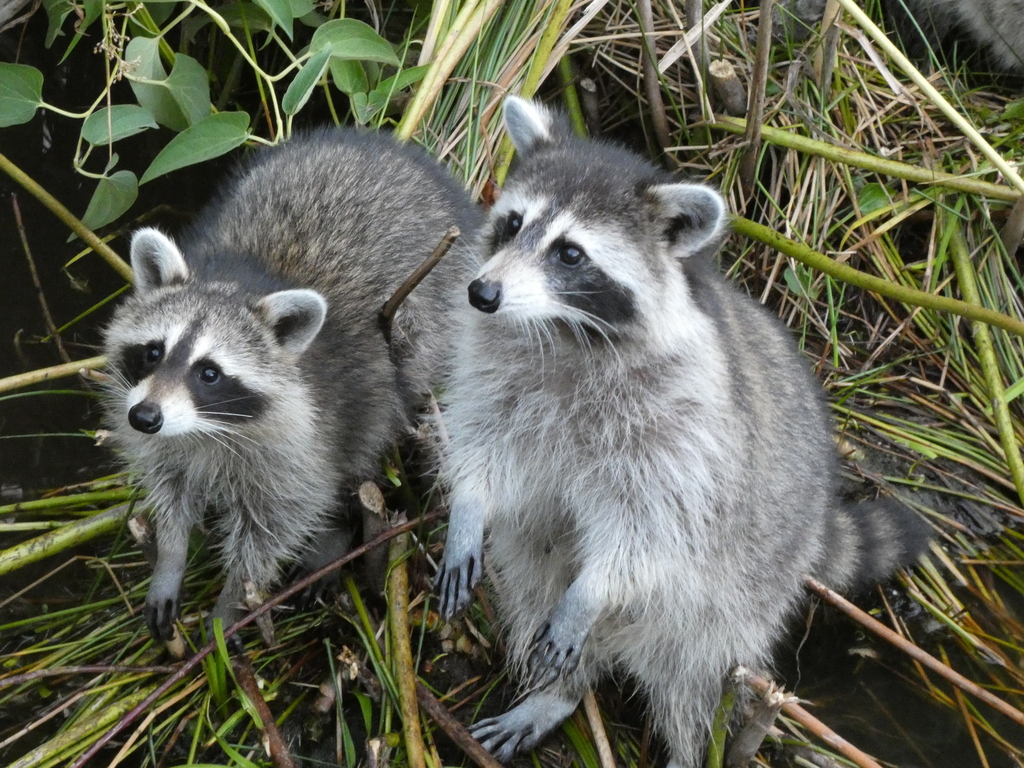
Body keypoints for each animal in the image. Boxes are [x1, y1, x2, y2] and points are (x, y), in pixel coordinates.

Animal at [102, 128, 480, 643]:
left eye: (209, 373)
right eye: (154, 352)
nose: (144, 418)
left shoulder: (297, 440)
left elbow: (277, 523)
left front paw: (228, 605)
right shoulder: (166, 438)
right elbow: (172, 492)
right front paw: (171, 557)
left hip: (425, 332)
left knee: (363, 445)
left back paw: (336, 533)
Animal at [434, 98, 929, 767]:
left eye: (570, 254)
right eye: (512, 224)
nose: (482, 293)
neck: (567, 330)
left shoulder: (684, 431)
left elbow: (648, 527)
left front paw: (591, 591)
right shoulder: (498, 375)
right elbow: (484, 445)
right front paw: (468, 506)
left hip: (735, 598)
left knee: (692, 680)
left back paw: (684, 741)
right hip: (543, 560)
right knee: (534, 582)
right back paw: (557, 694)